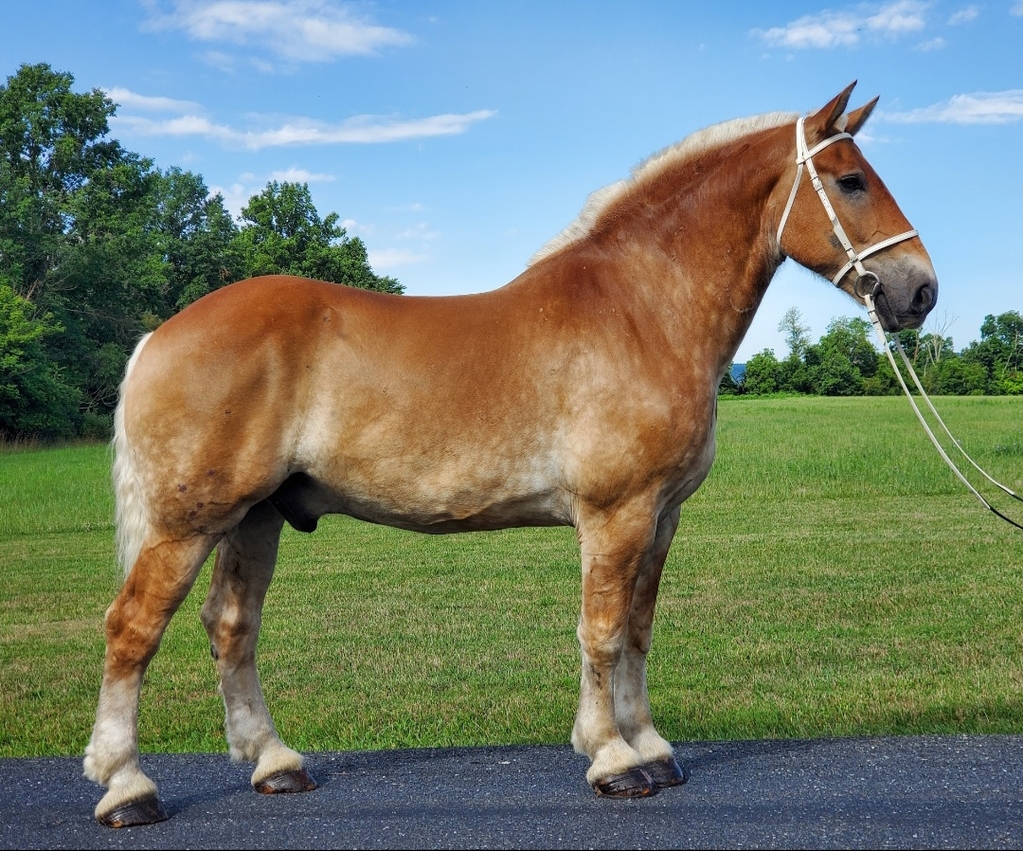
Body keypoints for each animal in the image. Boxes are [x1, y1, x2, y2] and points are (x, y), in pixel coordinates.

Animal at [84, 82, 937, 826]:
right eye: (851, 180)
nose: (918, 291)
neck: (640, 310)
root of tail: (162, 333)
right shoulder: (614, 513)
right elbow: (600, 629)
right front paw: (612, 759)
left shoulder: (660, 516)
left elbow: (638, 627)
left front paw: (651, 747)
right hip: (189, 520)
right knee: (133, 627)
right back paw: (127, 786)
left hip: (254, 516)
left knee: (232, 626)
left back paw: (275, 762)